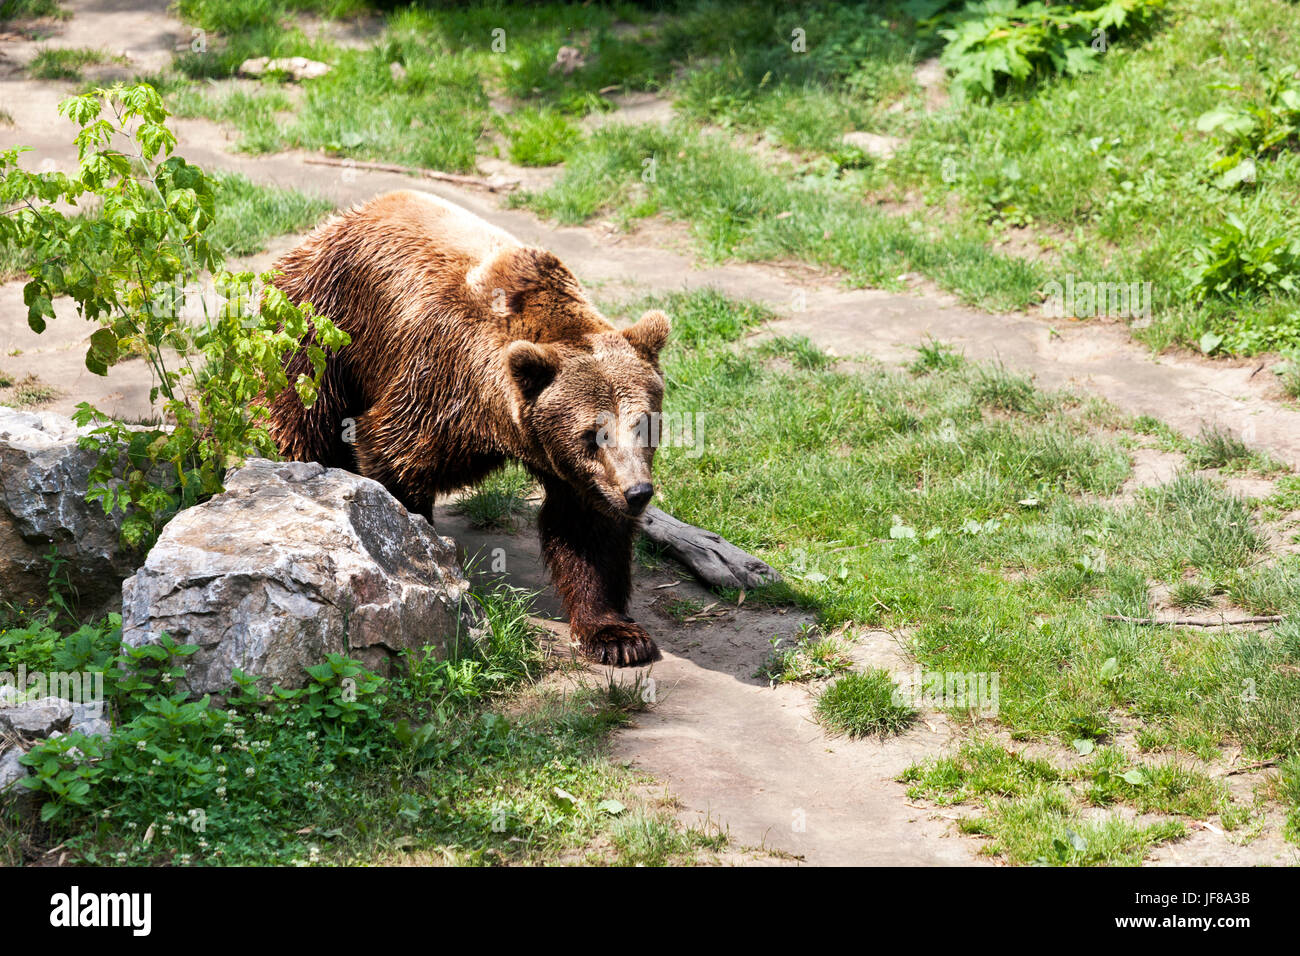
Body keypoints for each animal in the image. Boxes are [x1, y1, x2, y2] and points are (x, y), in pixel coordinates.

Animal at [265, 190, 670, 666]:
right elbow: (394, 457)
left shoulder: (570, 465)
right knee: (301, 412)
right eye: (593, 434)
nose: (637, 492)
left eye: (644, 425)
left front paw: (617, 636)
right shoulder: (434, 378)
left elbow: (586, 526)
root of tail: (343, 218)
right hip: (324, 324)